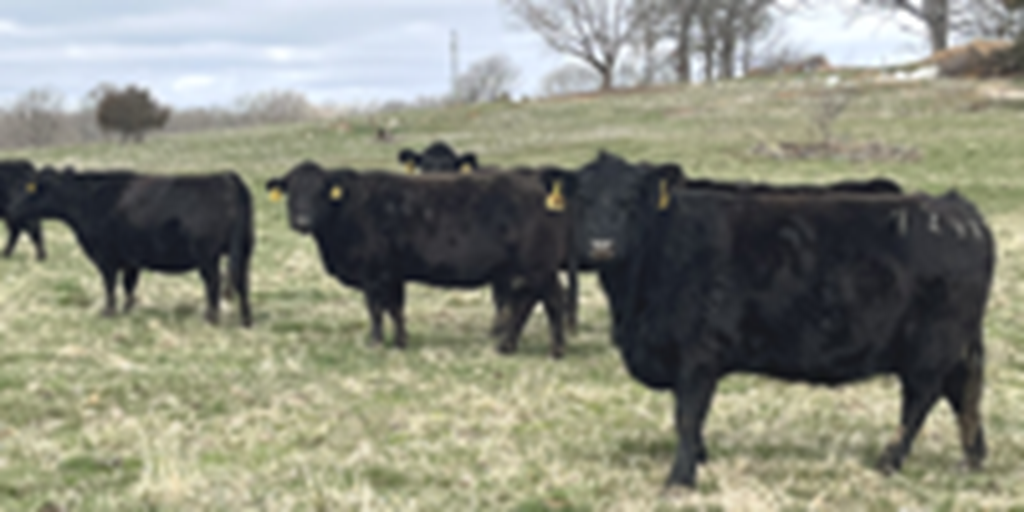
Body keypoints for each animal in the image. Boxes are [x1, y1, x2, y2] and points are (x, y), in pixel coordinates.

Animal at [7, 167, 254, 326]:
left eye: (29, 190)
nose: (12, 208)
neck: (90, 200)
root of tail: (226, 177)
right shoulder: (131, 259)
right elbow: (129, 284)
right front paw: (128, 309)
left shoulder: (106, 257)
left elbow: (110, 284)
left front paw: (108, 312)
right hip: (243, 251)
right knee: (241, 282)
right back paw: (246, 319)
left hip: (207, 257)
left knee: (214, 283)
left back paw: (211, 318)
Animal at [266, 161, 571, 357]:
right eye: (291, 191)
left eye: (320, 191)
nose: (302, 221)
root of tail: (533, 180)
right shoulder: (392, 275)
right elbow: (395, 308)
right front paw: (401, 341)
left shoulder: (373, 274)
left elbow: (375, 309)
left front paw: (376, 342)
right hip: (525, 270)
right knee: (527, 302)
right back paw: (507, 347)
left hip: (538, 266)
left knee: (552, 299)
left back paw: (555, 349)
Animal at [543, 152, 994, 487]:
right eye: (582, 198)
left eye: (633, 198)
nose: (602, 245)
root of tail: (956, 207)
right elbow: (685, 416)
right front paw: (700, 460)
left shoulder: (698, 355)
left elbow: (687, 415)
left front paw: (679, 479)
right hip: (958, 345)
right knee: (964, 393)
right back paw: (972, 459)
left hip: (931, 347)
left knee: (921, 399)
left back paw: (889, 461)